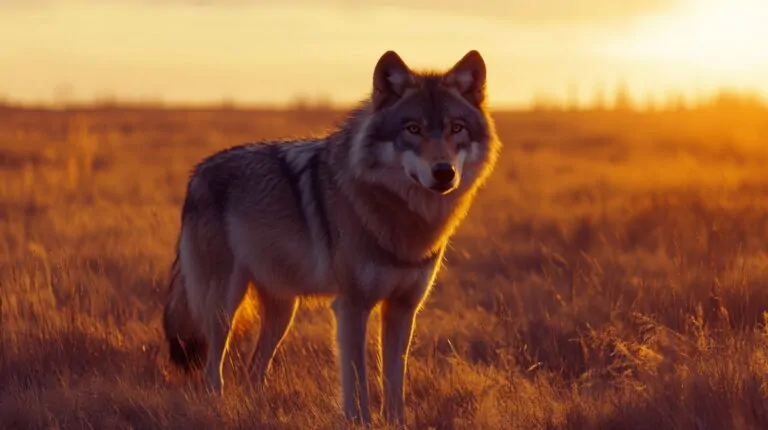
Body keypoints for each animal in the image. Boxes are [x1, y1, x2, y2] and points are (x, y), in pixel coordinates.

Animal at [161, 49, 501, 426]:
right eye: (413, 129)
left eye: (457, 128)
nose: (444, 173)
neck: (404, 220)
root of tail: (197, 173)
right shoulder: (351, 307)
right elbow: (357, 380)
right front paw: (360, 422)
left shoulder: (403, 309)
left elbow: (395, 382)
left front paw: (396, 423)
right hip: (224, 305)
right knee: (213, 368)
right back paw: (217, 406)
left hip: (283, 311)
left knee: (252, 373)